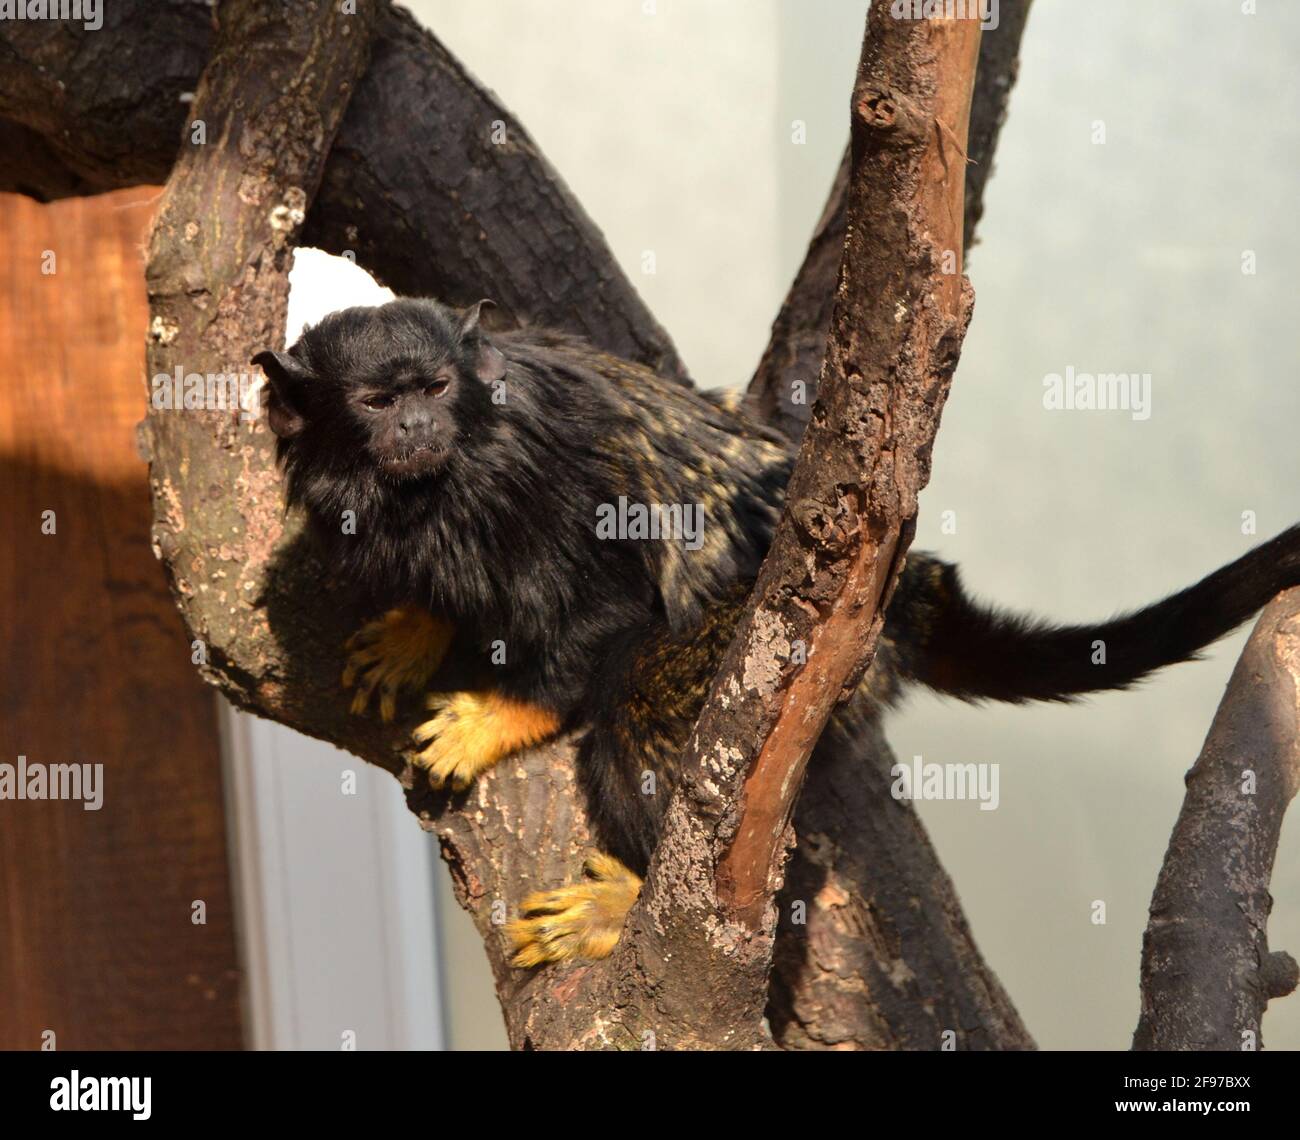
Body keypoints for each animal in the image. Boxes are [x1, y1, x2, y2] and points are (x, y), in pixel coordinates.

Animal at [253, 297, 1300, 968]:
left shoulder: (538, 481)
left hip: (788, 662)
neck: (435, 479)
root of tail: (898, 597)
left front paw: (492, 714)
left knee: (642, 710)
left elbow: (603, 614)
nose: (418, 426)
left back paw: (631, 903)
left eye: (432, 387)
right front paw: (418, 628)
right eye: (379, 402)